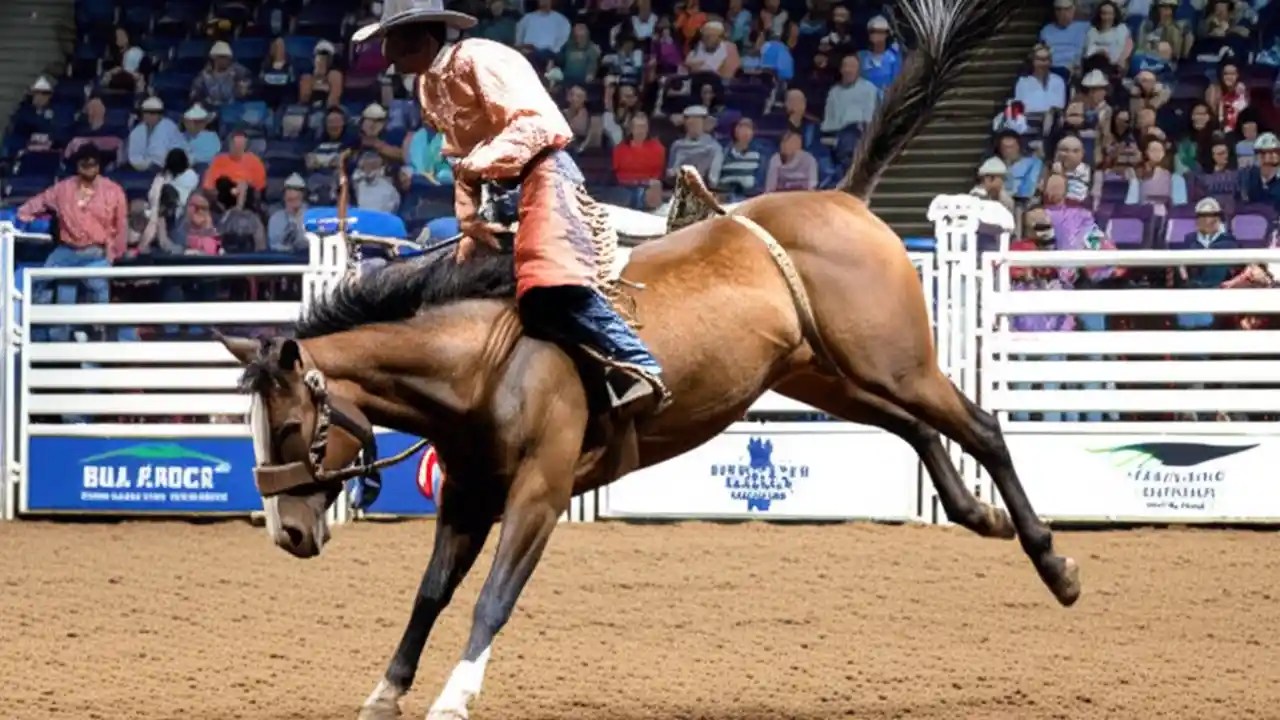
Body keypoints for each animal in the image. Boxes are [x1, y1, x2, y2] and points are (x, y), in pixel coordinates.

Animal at [219, 0, 1079, 717]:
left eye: (291, 427)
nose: (287, 535)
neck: (485, 360)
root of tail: (844, 199)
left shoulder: (540, 490)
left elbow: (493, 596)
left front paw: (453, 698)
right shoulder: (467, 494)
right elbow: (430, 593)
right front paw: (385, 691)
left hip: (895, 361)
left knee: (982, 427)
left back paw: (1055, 566)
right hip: (826, 374)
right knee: (918, 429)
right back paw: (980, 518)